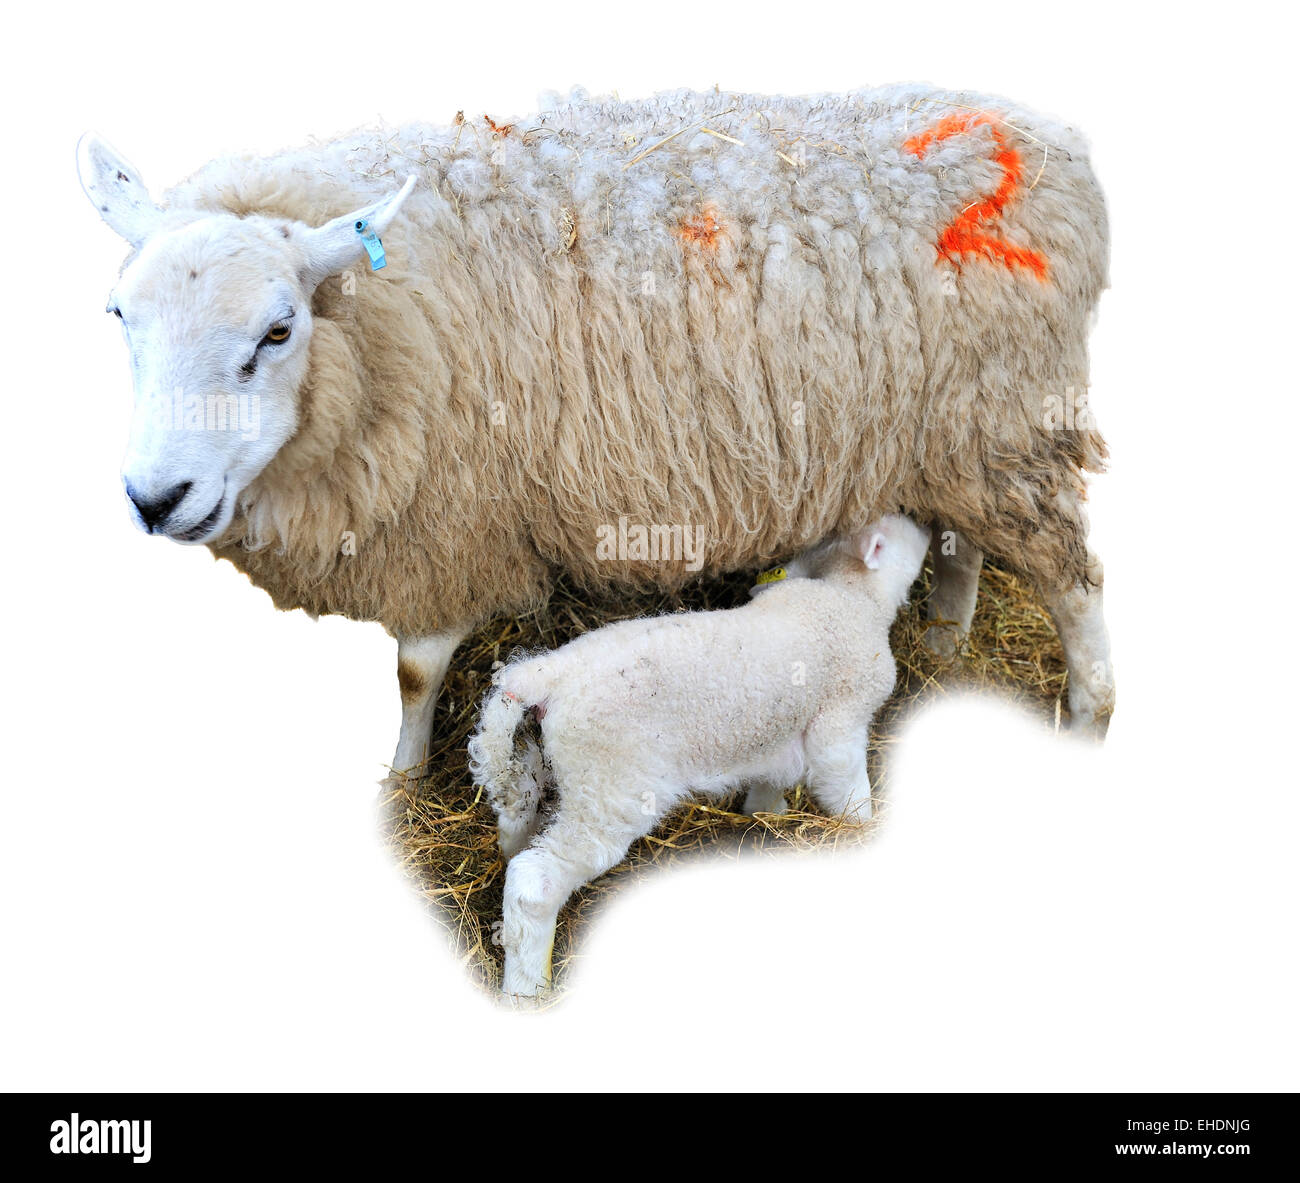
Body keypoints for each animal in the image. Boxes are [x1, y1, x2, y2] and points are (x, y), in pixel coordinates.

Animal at [76, 83, 1115, 787]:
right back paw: (946, 639)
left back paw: (1089, 716)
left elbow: (414, 673)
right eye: (118, 314)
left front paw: (403, 782)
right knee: (966, 540)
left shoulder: (453, 515)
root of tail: (1050, 141)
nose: (156, 499)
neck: (384, 321)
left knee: (1075, 584)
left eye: (278, 331)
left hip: (1010, 420)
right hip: (955, 435)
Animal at [468, 514, 931, 994]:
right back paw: (526, 988)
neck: (852, 596)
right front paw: (861, 830)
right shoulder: (840, 723)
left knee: (516, 825)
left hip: (540, 765)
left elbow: (769, 784)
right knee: (533, 884)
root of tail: (546, 675)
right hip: (609, 790)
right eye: (897, 528)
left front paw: (767, 815)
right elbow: (846, 789)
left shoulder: (776, 740)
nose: (930, 526)